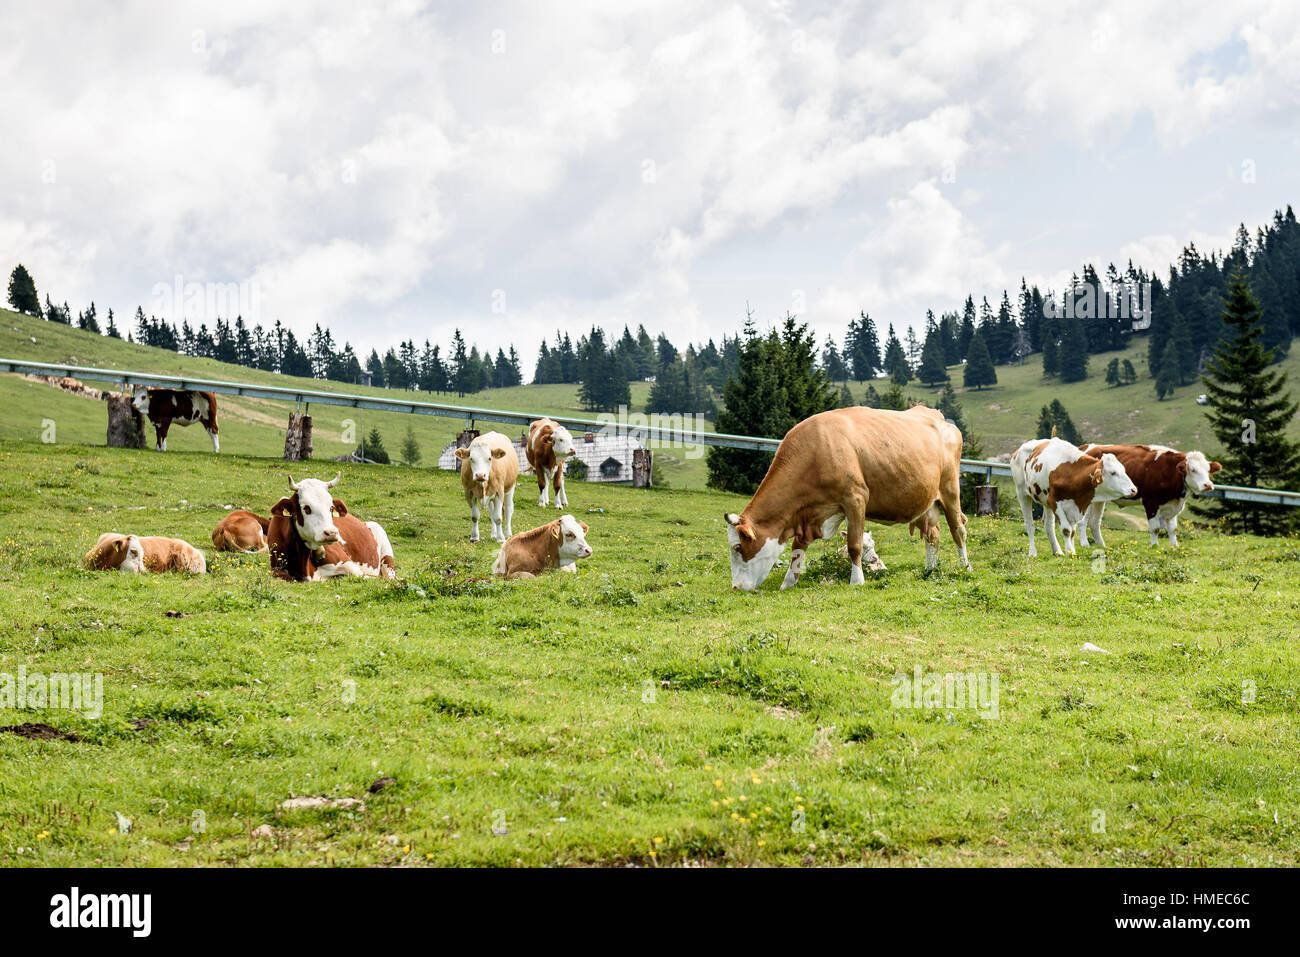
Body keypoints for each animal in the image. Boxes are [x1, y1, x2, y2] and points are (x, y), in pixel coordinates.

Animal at [267, 473, 396, 581]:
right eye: (306, 508)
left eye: (331, 507)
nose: (331, 533)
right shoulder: (275, 568)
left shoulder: (349, 564)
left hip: (387, 557)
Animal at [724, 405, 970, 592]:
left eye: (737, 548)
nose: (736, 587)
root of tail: (935, 415)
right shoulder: (809, 514)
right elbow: (797, 548)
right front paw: (788, 583)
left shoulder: (856, 500)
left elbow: (854, 545)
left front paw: (857, 580)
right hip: (924, 502)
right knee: (932, 535)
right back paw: (930, 569)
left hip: (949, 490)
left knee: (958, 531)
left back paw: (965, 567)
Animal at [1076, 444, 1222, 548]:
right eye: (1192, 470)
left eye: (1208, 470)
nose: (1208, 485)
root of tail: (1086, 447)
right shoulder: (1150, 502)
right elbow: (1155, 528)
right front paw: (1154, 546)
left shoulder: (1173, 505)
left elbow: (1173, 529)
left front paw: (1174, 546)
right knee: (1082, 522)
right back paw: (1085, 544)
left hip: (1099, 500)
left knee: (1095, 522)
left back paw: (1101, 545)